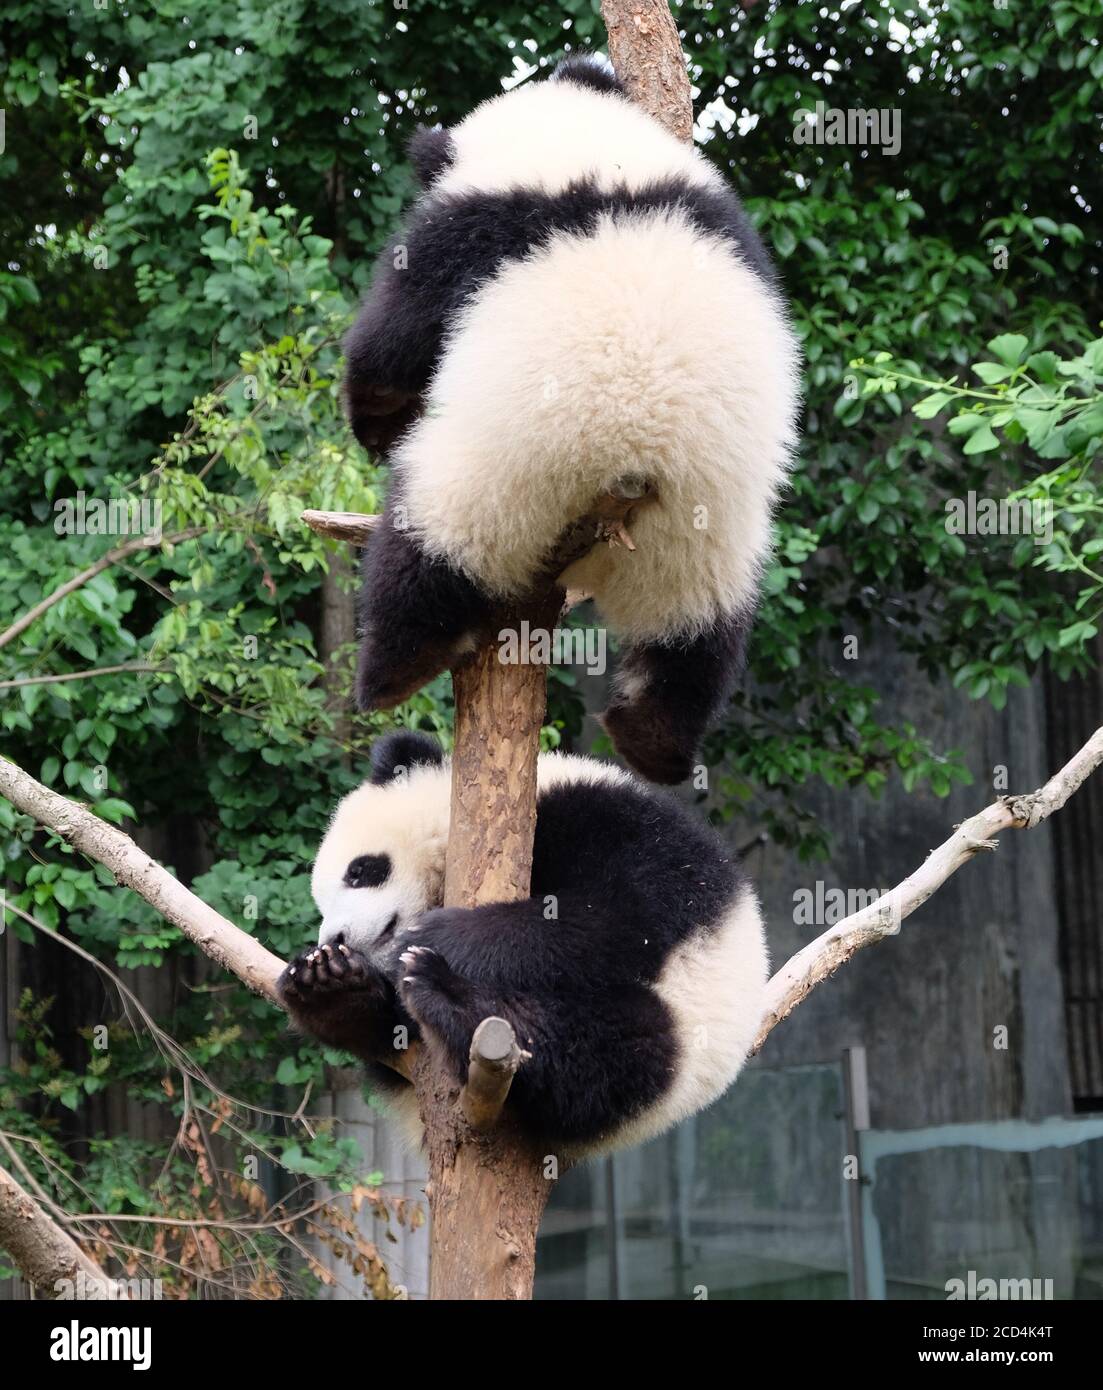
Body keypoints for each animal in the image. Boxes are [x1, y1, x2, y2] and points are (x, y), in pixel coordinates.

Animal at [277, 731, 768, 1158]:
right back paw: (337, 994)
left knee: (598, 1048)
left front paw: (439, 935)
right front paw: (330, 979)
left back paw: (447, 995)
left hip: (684, 1037)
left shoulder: (608, 821)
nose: (336, 938)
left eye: (360, 870)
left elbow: (621, 917)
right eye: (321, 903)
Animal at [343, 54, 800, 786]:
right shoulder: (722, 214)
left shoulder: (465, 232)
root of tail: (634, 468)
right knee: (700, 639)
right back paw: (652, 740)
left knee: (422, 556)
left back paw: (394, 670)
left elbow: (395, 338)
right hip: (710, 533)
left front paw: (375, 421)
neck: (588, 163)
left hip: (496, 481)